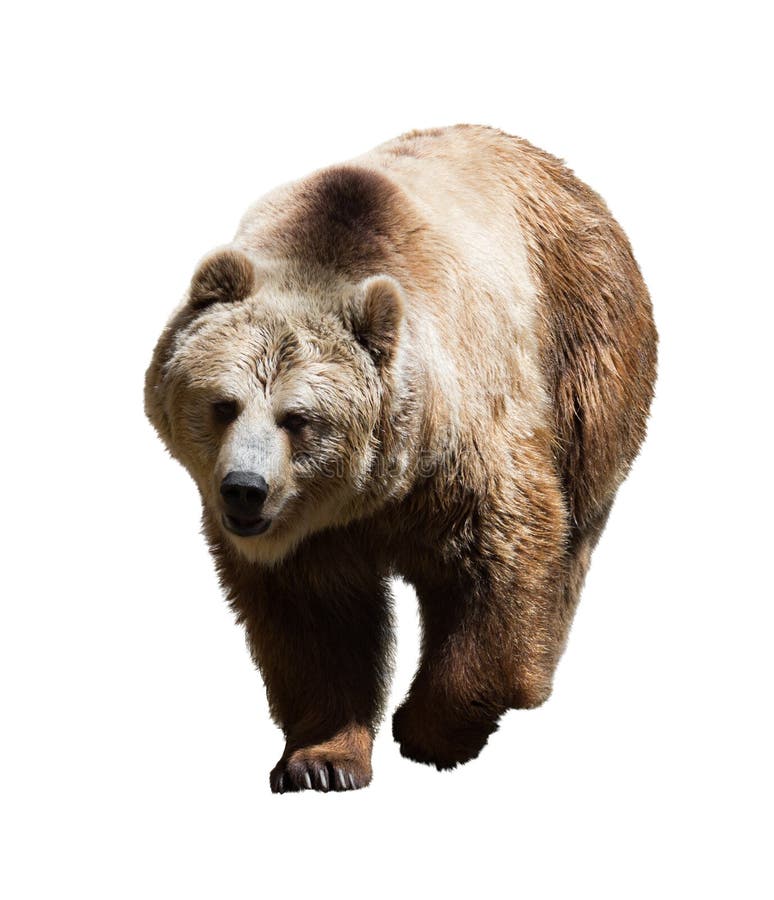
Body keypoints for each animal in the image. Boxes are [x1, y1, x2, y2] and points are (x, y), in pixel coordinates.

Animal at [145, 125, 657, 793]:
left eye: (297, 418)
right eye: (223, 404)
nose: (244, 488)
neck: (373, 495)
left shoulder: (466, 451)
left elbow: (502, 562)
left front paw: (431, 731)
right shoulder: (309, 540)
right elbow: (316, 623)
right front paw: (321, 760)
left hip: (588, 359)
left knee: (575, 529)